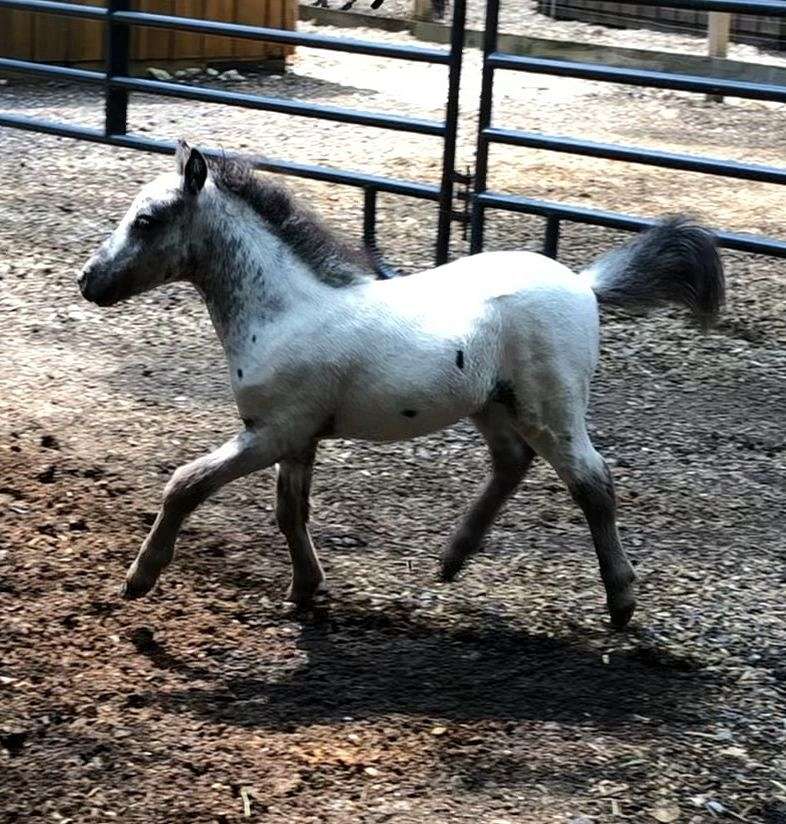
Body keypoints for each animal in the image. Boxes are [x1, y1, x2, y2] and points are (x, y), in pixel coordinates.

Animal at [78, 141, 724, 628]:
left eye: (146, 220)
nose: (89, 281)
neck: (284, 311)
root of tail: (584, 284)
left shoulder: (273, 433)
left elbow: (185, 484)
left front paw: (139, 578)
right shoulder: (298, 438)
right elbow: (290, 511)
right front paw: (305, 589)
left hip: (552, 409)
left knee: (593, 483)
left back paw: (620, 601)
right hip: (494, 404)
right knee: (511, 464)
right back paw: (451, 560)